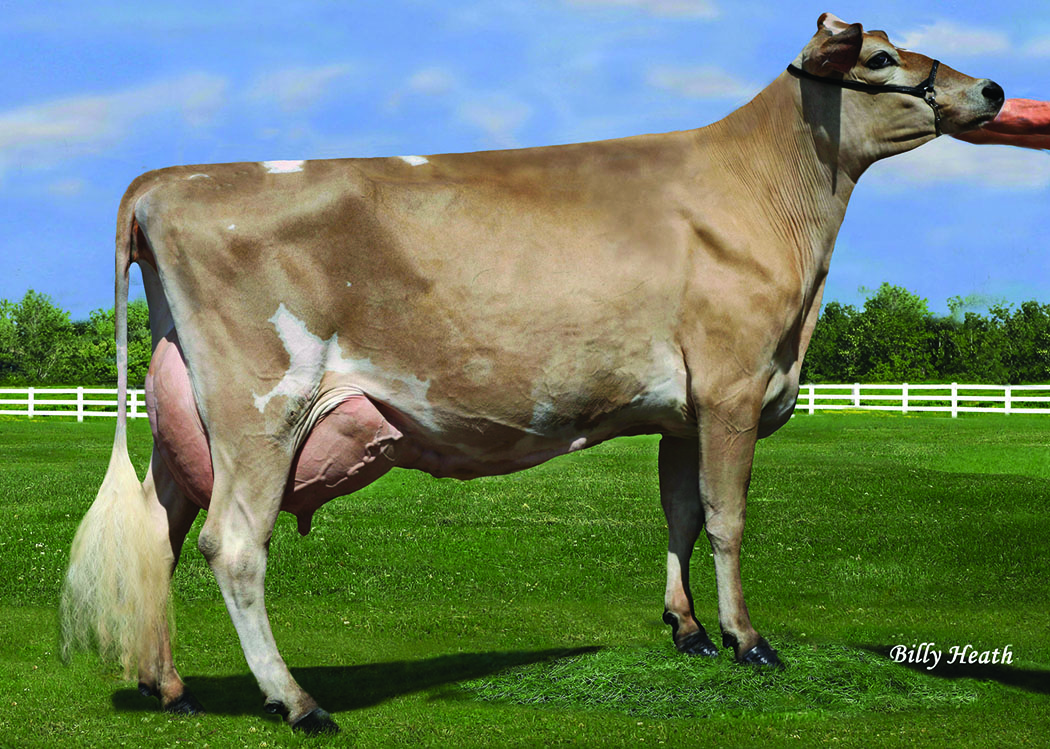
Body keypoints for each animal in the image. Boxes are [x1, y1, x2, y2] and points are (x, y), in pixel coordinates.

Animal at [61, 13, 1004, 735]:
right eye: (878, 60)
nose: (993, 90)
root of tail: (164, 180)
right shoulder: (733, 385)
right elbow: (729, 519)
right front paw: (748, 639)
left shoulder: (683, 408)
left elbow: (681, 511)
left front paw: (688, 629)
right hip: (262, 405)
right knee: (232, 544)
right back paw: (297, 701)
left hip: (189, 414)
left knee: (160, 528)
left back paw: (167, 685)